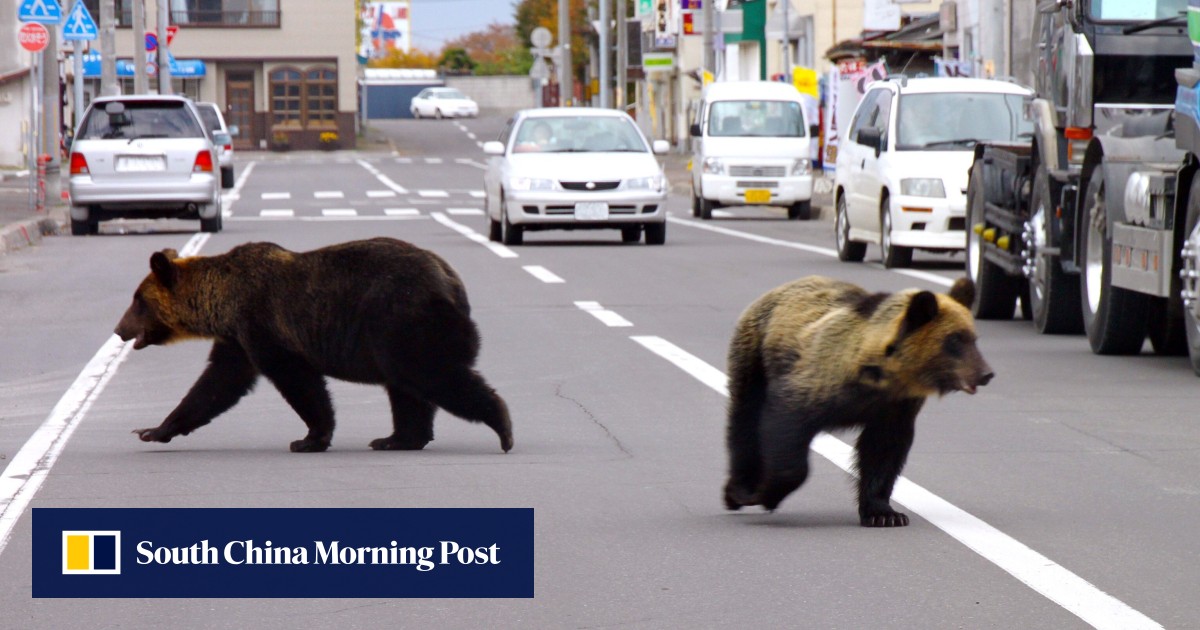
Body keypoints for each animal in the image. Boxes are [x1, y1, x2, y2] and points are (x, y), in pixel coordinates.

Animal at [114, 237, 513, 454]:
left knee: (431, 375)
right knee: (406, 388)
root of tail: (451, 281)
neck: (223, 302)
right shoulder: (238, 339)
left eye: (137, 300)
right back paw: (396, 438)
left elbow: (298, 380)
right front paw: (152, 430)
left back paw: (503, 426)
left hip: (402, 319)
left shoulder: (263, 325)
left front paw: (309, 438)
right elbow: (216, 385)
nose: (119, 329)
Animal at [722, 276, 993, 527]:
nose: (986, 373)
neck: (880, 377)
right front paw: (766, 494)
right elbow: (785, 426)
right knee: (744, 418)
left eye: (974, 338)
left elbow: (883, 452)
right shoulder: (816, 382)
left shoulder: (894, 408)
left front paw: (885, 514)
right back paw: (738, 489)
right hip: (755, 355)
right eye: (955, 339)